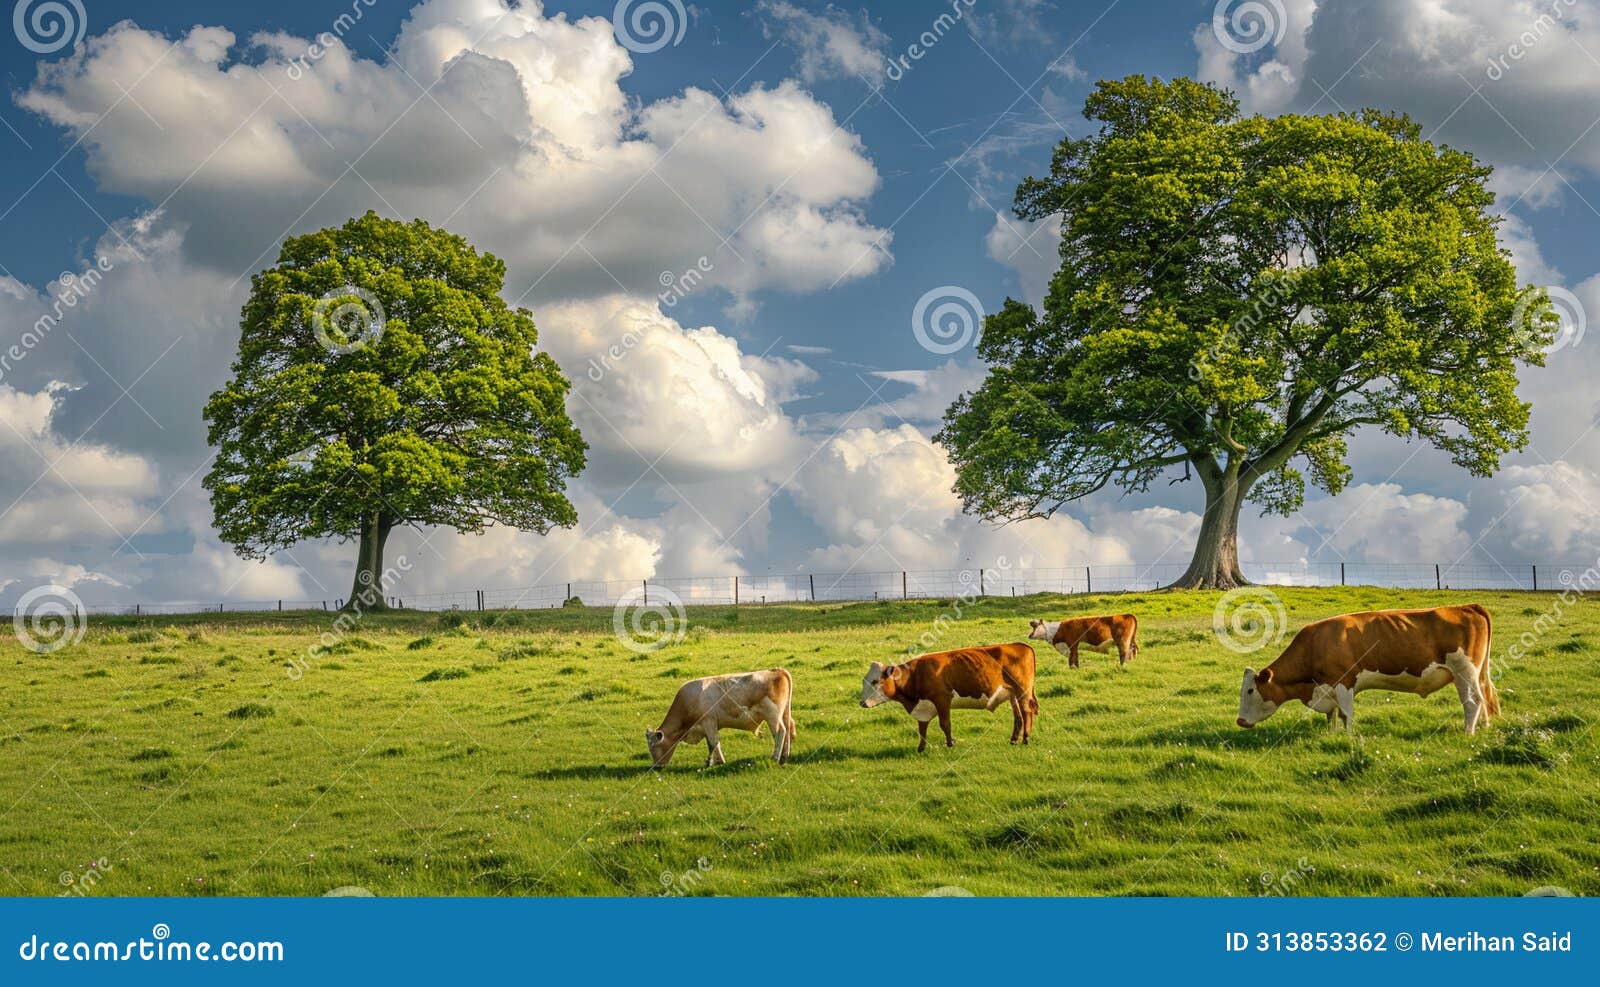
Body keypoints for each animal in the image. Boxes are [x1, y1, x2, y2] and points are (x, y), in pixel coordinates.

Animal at [646, 668, 795, 768]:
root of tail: (776, 670)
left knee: (780, 732)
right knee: (788, 729)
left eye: (654, 747)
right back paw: (784, 756)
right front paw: (712, 761)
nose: (656, 767)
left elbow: (714, 742)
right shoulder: (706, 726)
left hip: (772, 716)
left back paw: (775, 758)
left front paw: (718, 762)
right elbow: (710, 744)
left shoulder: (709, 721)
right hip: (784, 713)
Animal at [860, 643, 1038, 751]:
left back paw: (1025, 739)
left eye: (875, 681)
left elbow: (945, 725)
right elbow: (922, 728)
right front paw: (921, 748)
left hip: (1023, 691)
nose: (862, 703)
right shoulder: (923, 707)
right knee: (1018, 717)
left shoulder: (942, 699)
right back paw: (1013, 739)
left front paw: (950, 743)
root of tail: (1021, 645)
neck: (916, 675)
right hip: (1012, 694)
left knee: (1026, 712)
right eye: (864, 681)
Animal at [1236, 604, 1499, 735]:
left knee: (1473, 702)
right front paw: (1331, 735)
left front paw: (1348, 739)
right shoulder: (1328, 688)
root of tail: (1467, 606)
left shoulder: (1344, 682)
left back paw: (1468, 732)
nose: (1240, 721)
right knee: (1483, 697)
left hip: (1464, 671)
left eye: (1250, 691)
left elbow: (1346, 714)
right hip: (1475, 673)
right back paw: (1483, 728)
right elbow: (1332, 715)